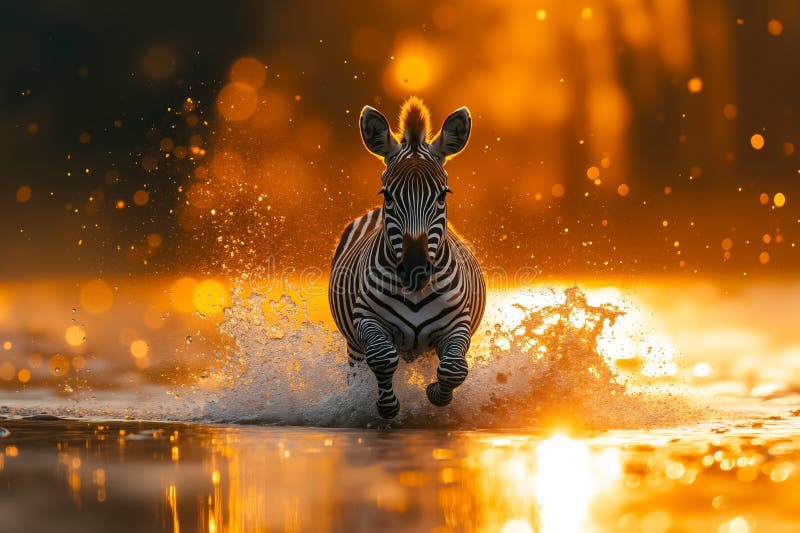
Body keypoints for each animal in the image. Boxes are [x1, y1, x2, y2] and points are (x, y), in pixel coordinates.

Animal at [329, 97, 486, 419]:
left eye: (443, 195)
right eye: (387, 195)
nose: (415, 270)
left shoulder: (458, 324)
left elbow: (454, 368)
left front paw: (435, 395)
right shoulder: (367, 320)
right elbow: (382, 358)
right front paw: (386, 406)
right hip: (352, 345)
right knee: (358, 370)